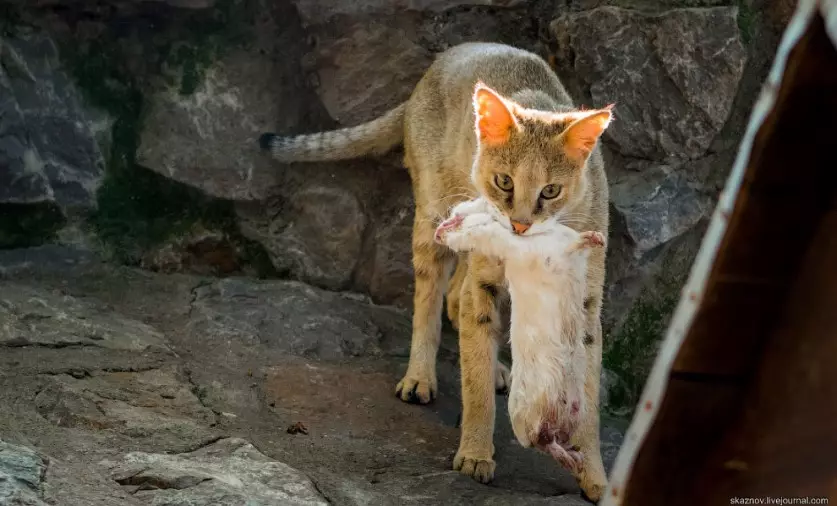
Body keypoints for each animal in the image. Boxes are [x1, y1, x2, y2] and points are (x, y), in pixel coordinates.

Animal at [434, 196, 604, 476]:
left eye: (458, 214)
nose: (438, 232)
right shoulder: (550, 251)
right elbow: (573, 244)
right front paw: (595, 238)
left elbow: (575, 242)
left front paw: (598, 238)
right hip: (527, 420)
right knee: (542, 442)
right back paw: (573, 460)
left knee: (550, 442)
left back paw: (576, 459)